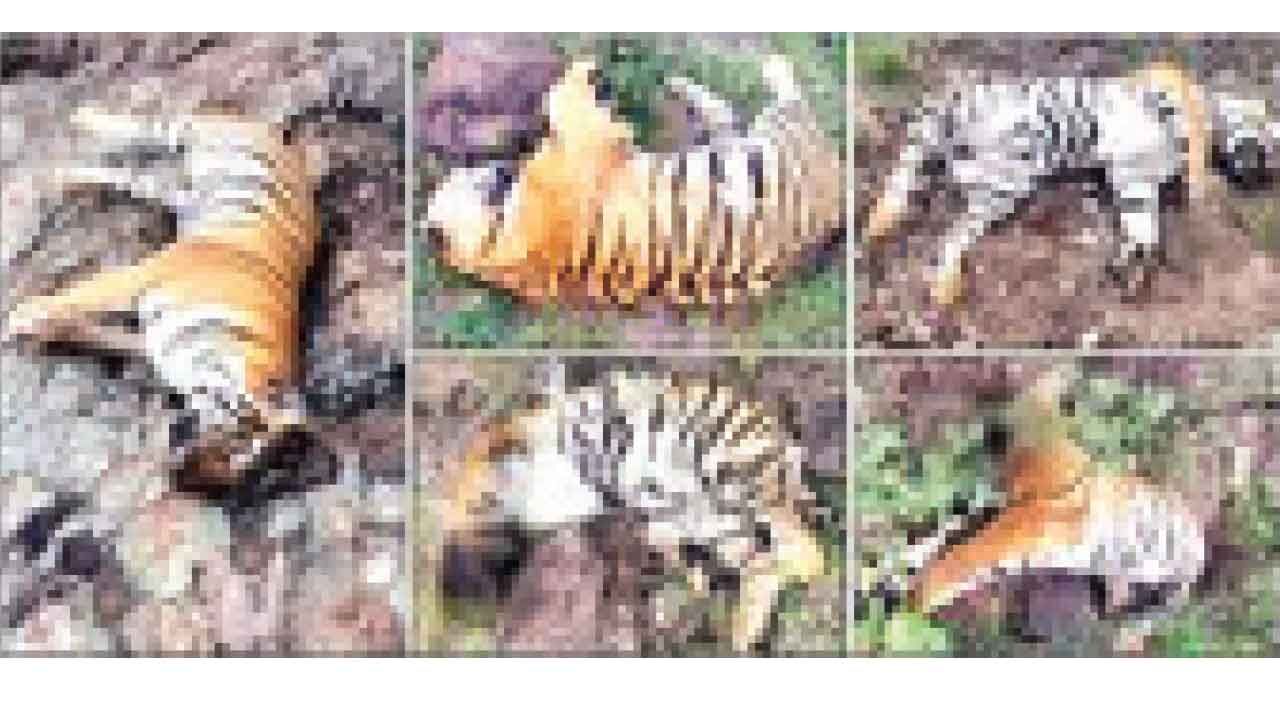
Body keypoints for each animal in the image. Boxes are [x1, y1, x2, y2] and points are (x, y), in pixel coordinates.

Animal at [3, 105, 319, 482]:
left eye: (237, 461)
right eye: (225, 412)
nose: (186, 467)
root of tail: (281, 139)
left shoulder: (149, 339)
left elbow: (95, 330)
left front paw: (52, 332)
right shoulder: (141, 275)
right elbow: (73, 298)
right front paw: (18, 319)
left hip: (176, 188)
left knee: (131, 176)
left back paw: (67, 172)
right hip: (192, 131)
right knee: (153, 125)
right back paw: (85, 117)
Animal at [425, 54, 844, 308]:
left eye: (466, 175)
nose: (496, 168)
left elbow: (557, 102)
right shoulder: (585, 142)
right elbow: (562, 101)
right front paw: (586, 69)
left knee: (743, 113)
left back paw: (682, 82)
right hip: (780, 136)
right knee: (786, 98)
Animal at [434, 366, 830, 653]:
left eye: (474, 501)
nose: (453, 522)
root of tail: (783, 438)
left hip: (729, 468)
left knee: (800, 543)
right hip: (710, 517)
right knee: (760, 564)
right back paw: (734, 628)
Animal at [863, 62, 1280, 306]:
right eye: (1267, 150)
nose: (1263, 181)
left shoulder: (1129, 181)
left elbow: (1141, 231)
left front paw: (1127, 271)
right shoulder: (1133, 172)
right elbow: (1146, 230)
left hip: (997, 181)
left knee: (937, 209)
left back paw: (886, 235)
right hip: (993, 165)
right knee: (940, 213)